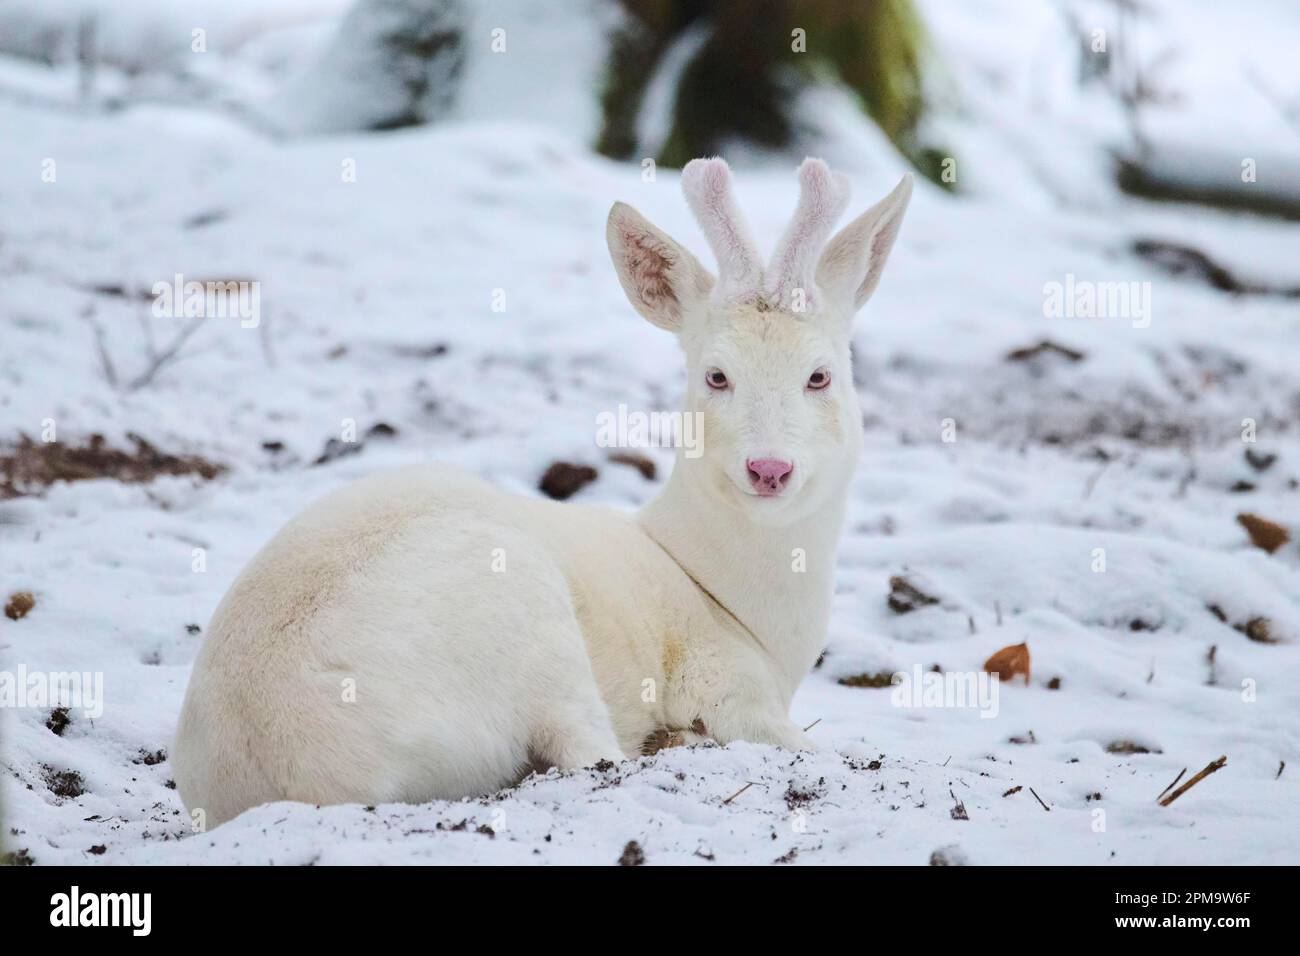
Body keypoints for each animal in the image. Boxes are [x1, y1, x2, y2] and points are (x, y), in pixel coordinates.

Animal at [172, 158, 912, 826]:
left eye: (820, 375)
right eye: (716, 375)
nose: (769, 469)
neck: (718, 591)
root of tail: (293, 772)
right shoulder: (724, 681)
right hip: (527, 619)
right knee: (585, 748)